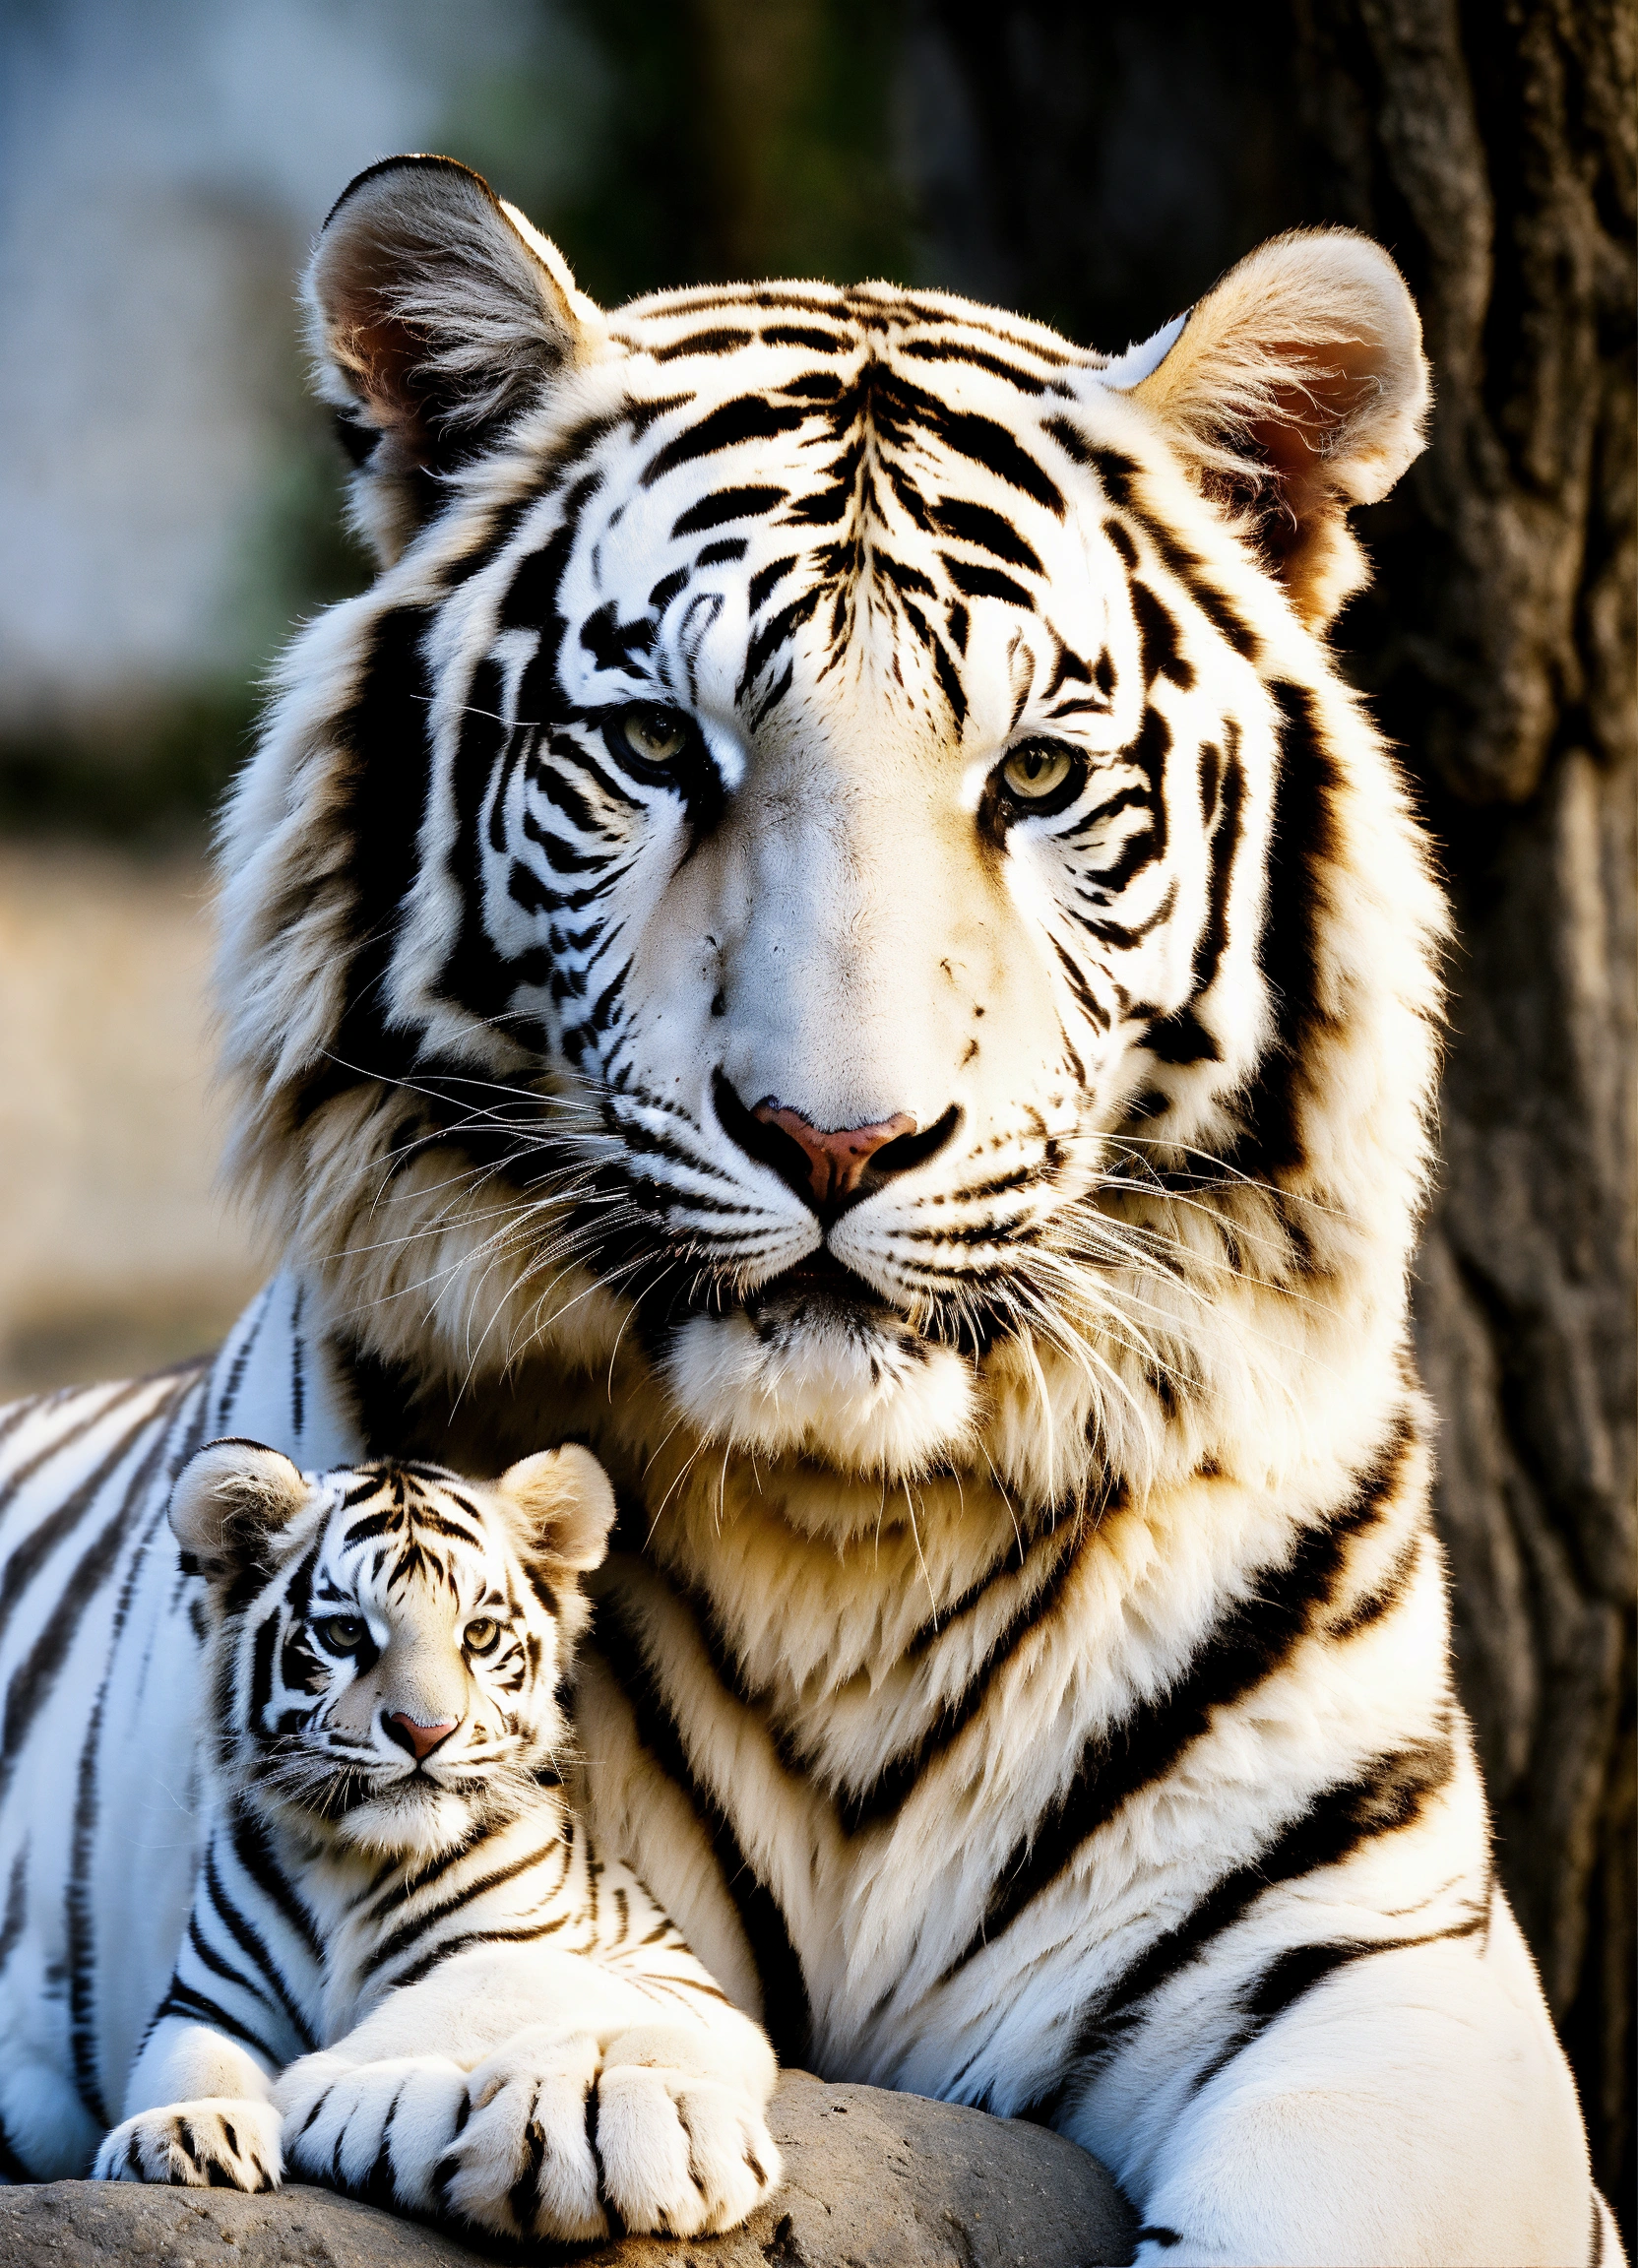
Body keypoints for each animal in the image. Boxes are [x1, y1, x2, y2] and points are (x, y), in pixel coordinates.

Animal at [92, 1436, 780, 2244]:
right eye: (345, 1633)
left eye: (478, 1635)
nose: (426, 1732)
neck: (352, 1865)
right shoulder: (207, 1999)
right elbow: (193, 2061)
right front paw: (187, 2133)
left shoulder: (673, 1977)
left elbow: (490, 1980)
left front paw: (316, 2081)